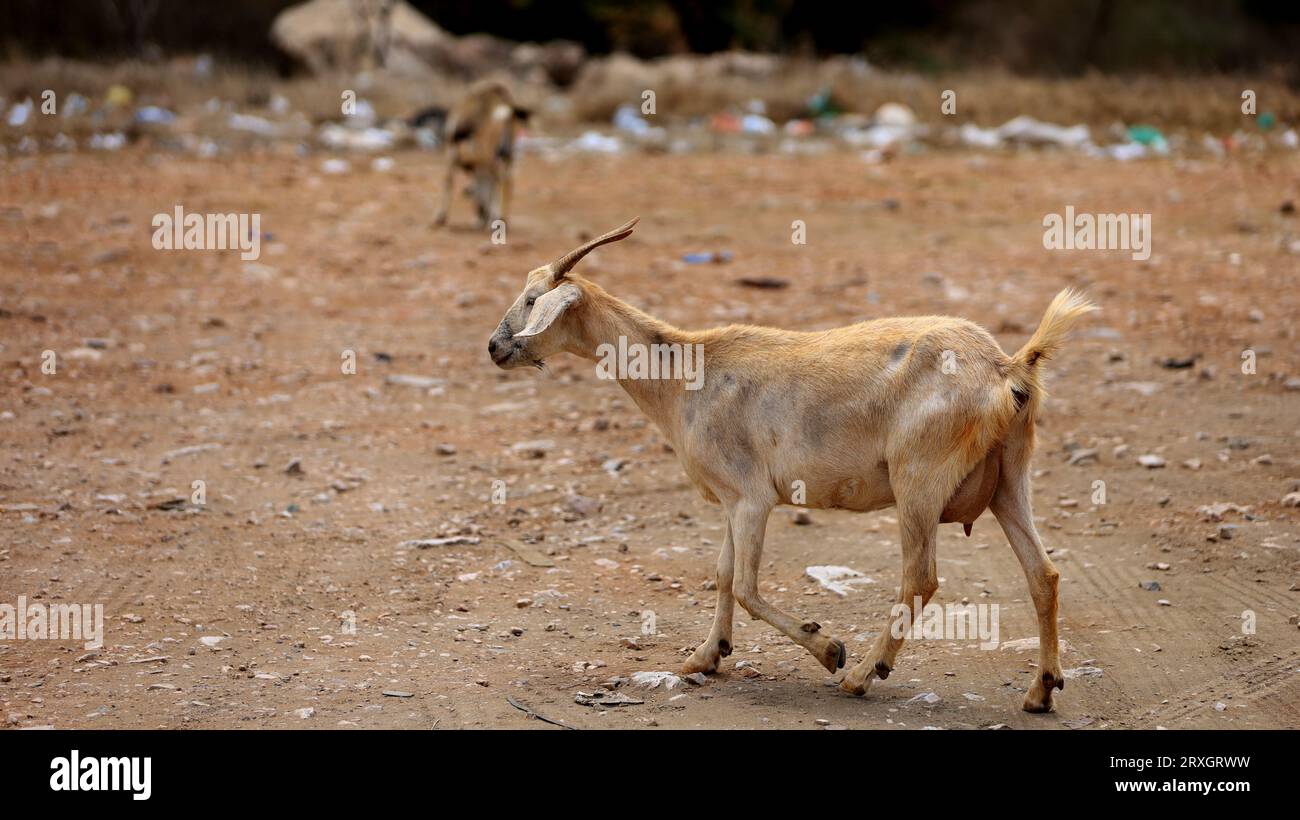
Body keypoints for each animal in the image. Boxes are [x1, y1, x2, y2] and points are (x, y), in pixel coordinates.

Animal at [434, 80, 529, 229]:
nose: (466, 191)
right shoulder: (479, 163)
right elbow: (482, 187)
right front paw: (482, 217)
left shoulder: (454, 155)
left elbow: (451, 182)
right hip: (504, 156)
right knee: (506, 181)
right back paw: (500, 218)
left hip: (492, 156)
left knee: (500, 180)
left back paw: (495, 217)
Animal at [488, 218, 1097, 713]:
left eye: (533, 299)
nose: (495, 348)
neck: (686, 374)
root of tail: (1008, 368)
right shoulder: (733, 500)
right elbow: (723, 574)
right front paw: (705, 656)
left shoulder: (753, 497)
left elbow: (746, 587)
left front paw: (829, 648)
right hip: (1010, 480)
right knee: (1043, 574)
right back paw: (1041, 691)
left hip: (919, 480)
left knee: (920, 578)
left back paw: (860, 674)